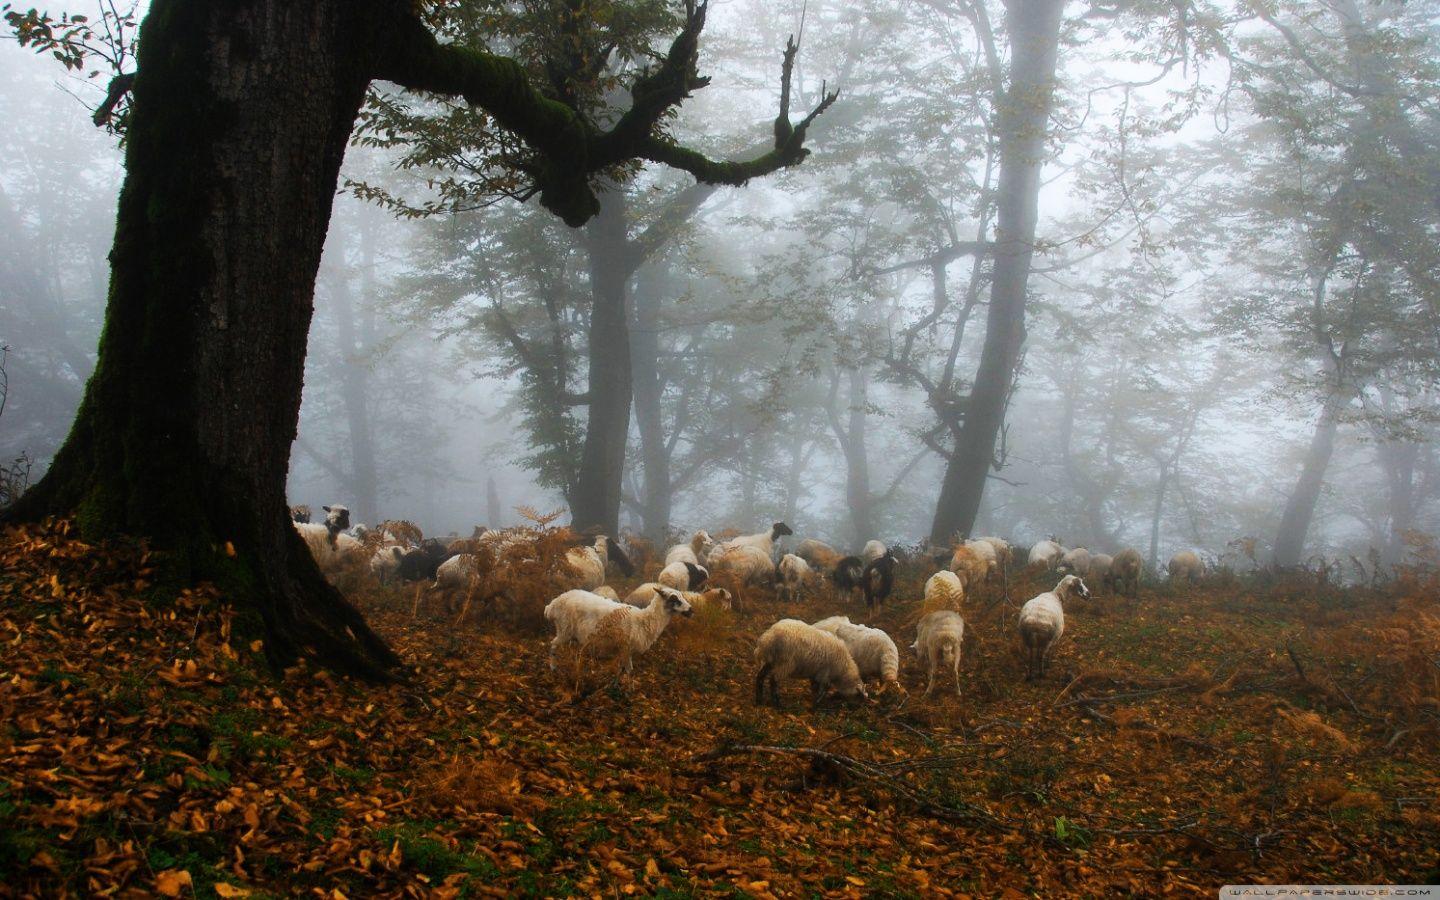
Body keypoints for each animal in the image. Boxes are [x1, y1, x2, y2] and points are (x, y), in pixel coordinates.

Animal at [544, 587, 693, 678]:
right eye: (674, 599)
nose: (691, 610)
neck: (644, 620)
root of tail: (553, 604)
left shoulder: (623, 649)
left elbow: (622, 669)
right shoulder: (626, 647)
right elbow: (629, 671)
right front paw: (629, 689)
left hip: (572, 634)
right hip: (564, 629)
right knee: (553, 645)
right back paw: (553, 667)